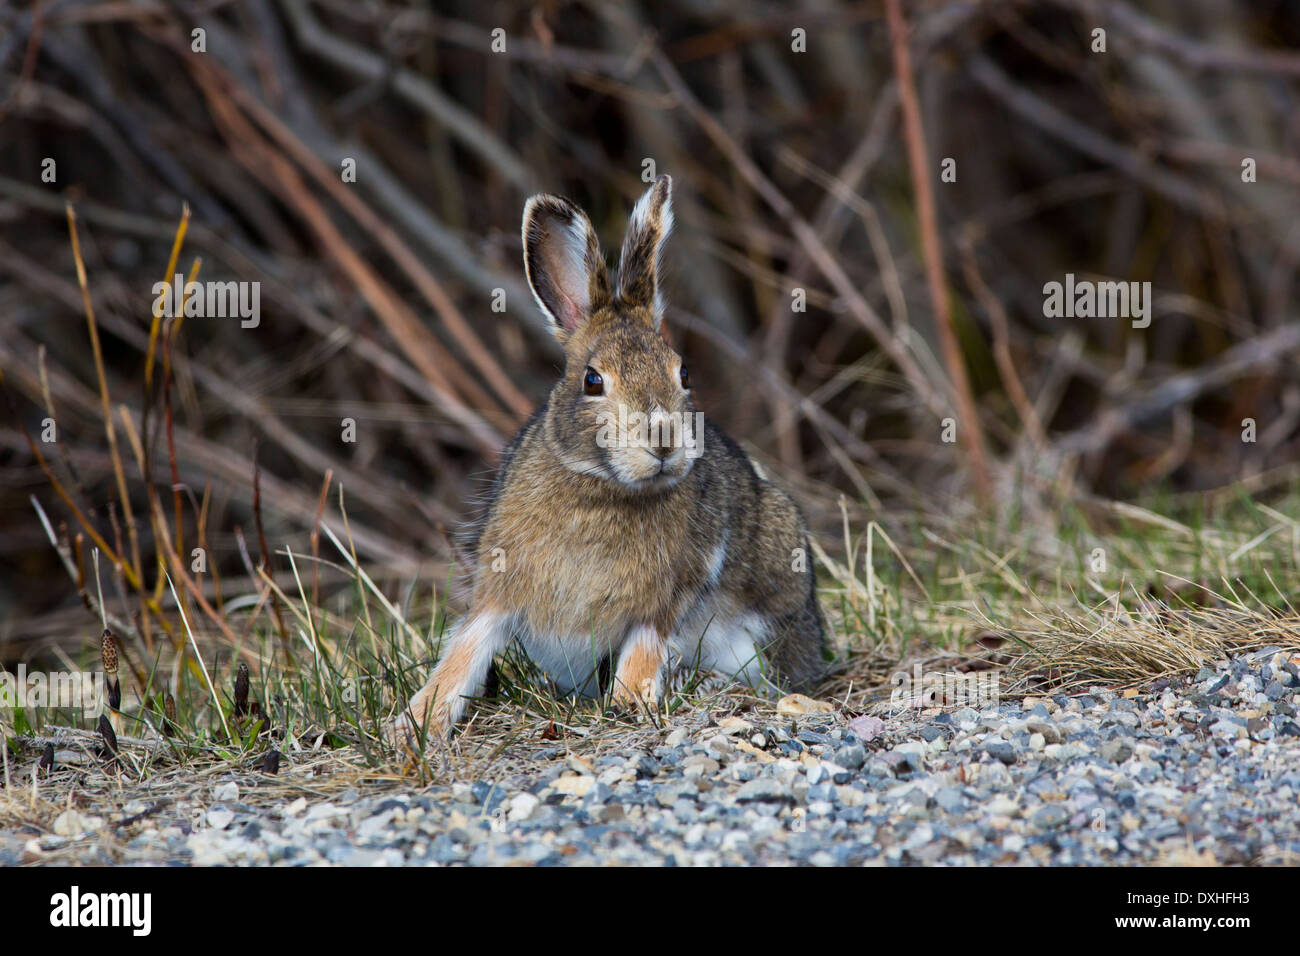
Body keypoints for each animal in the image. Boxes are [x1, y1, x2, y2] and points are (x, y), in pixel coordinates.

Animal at [392, 175, 827, 746]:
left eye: (683, 373)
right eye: (592, 381)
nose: (663, 441)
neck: (603, 487)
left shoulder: (669, 595)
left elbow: (645, 645)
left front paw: (629, 702)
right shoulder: (499, 585)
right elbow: (467, 648)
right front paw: (416, 721)